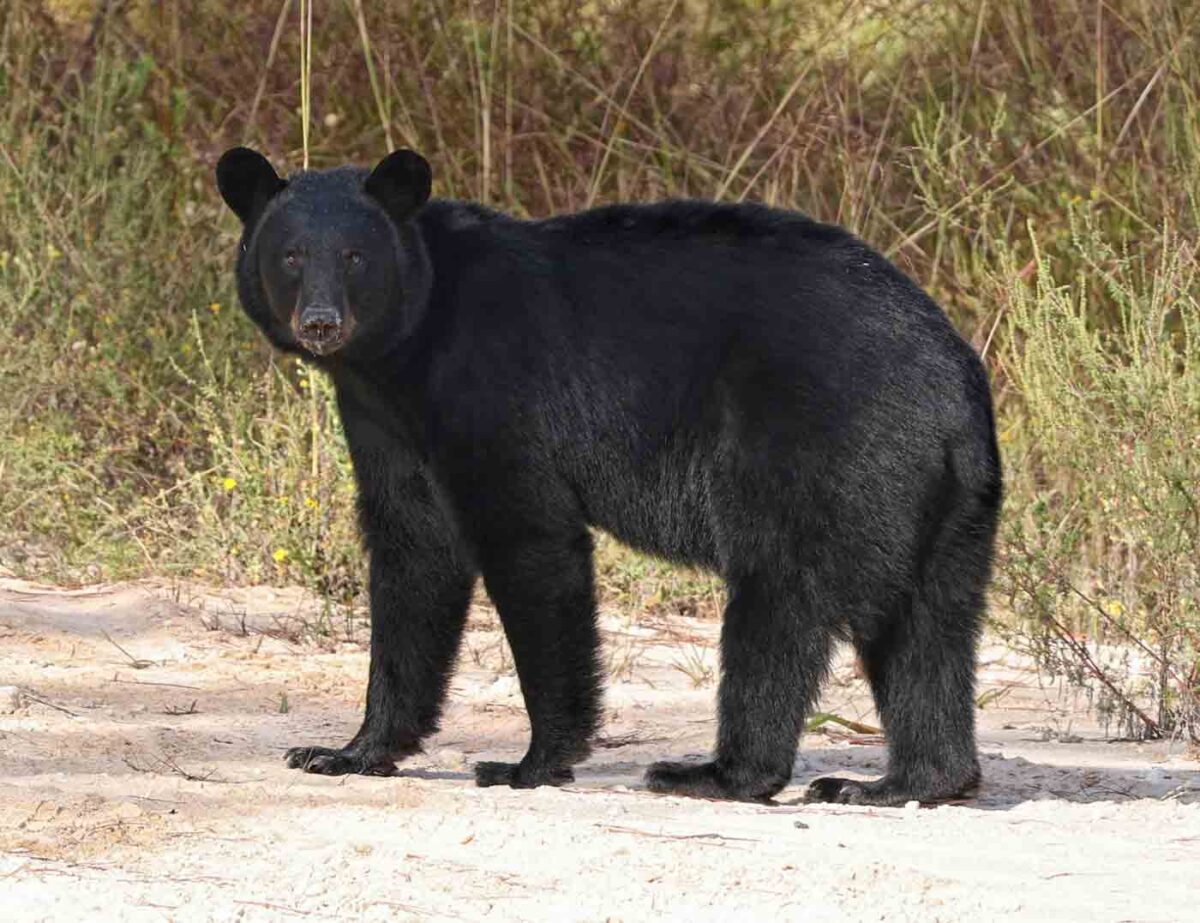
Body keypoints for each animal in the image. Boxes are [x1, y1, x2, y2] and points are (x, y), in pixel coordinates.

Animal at [216, 146, 1002, 805]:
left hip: (825, 448)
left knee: (779, 601)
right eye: (290, 255)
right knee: (928, 628)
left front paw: (530, 762)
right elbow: (413, 556)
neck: (410, 344)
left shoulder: (494, 393)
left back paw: (718, 772)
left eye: (355, 255)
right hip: (942, 502)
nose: (322, 322)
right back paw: (899, 781)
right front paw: (346, 750)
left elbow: (530, 545)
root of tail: (953, 381)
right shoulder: (385, 420)